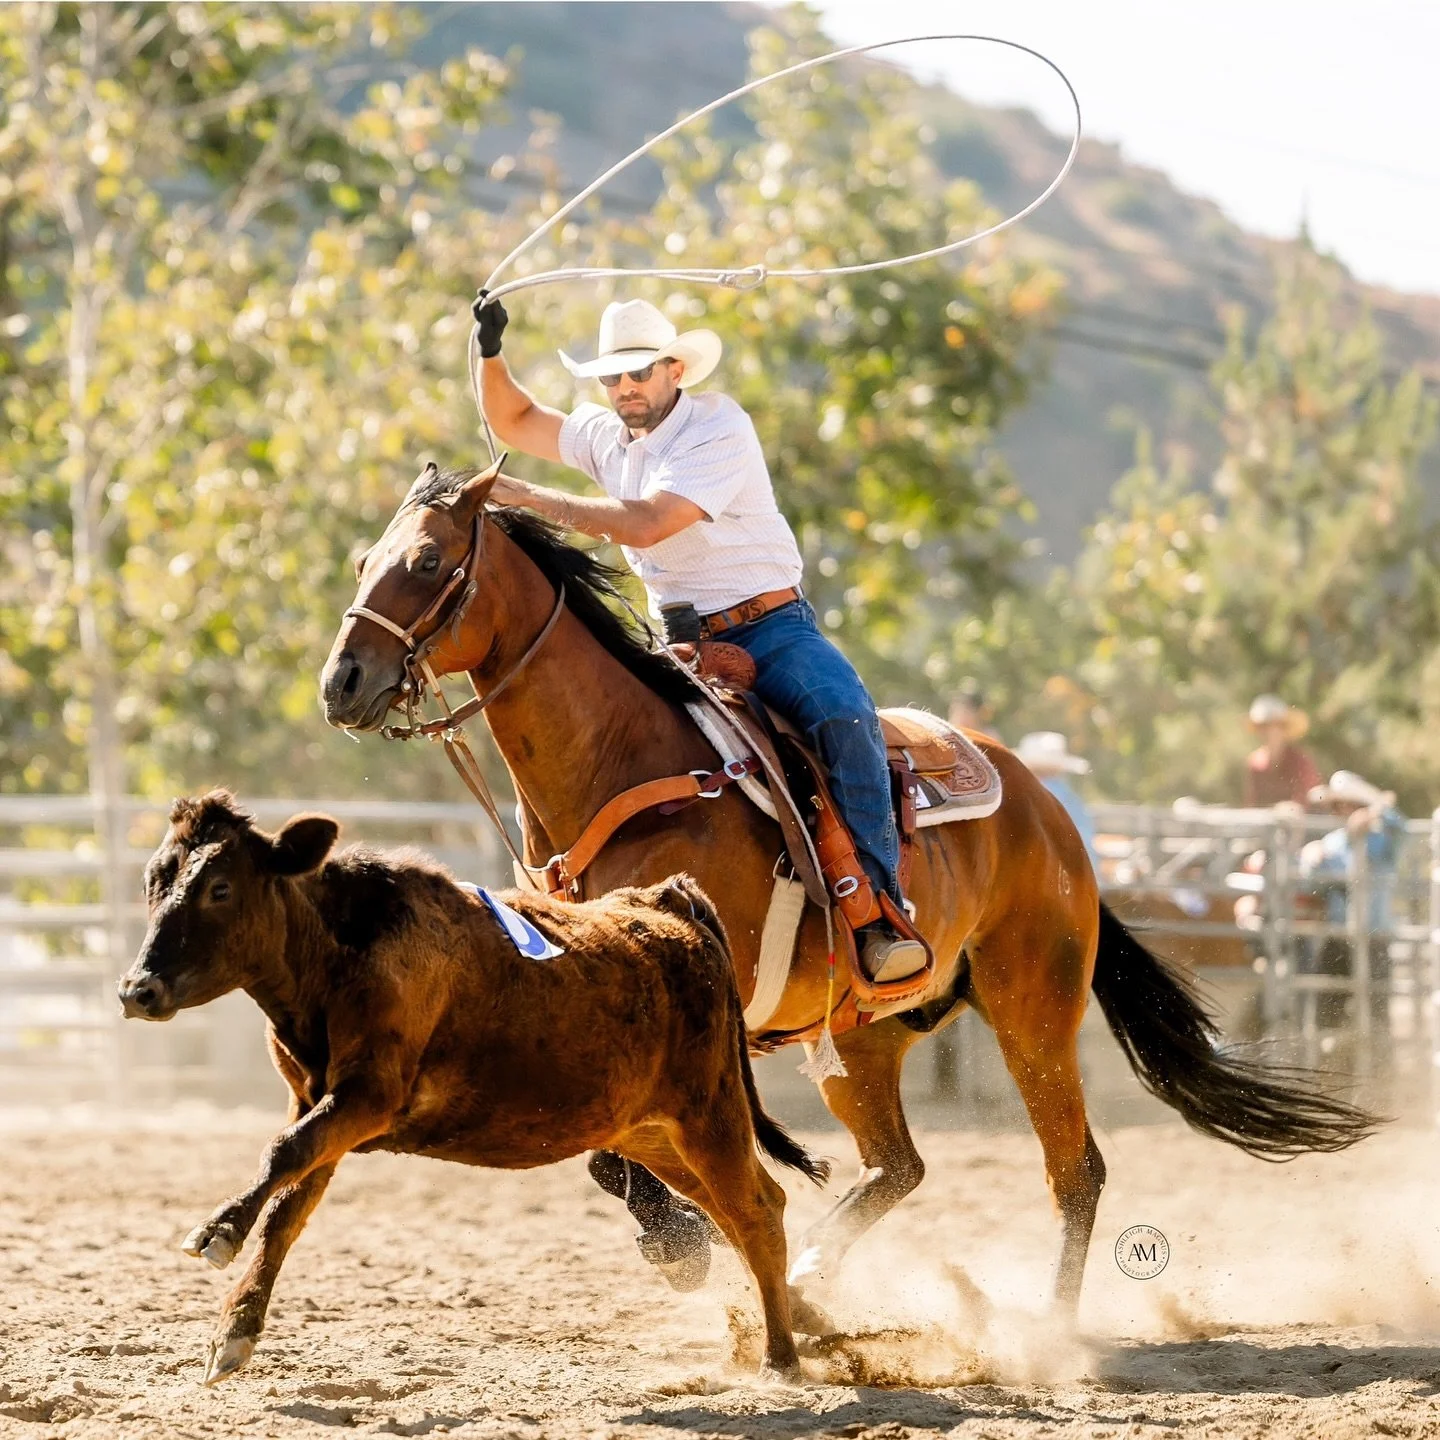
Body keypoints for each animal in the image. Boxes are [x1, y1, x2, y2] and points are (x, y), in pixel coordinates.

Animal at [117, 792, 827, 1384]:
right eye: (155, 881)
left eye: (219, 887)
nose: (136, 990)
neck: (336, 955)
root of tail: (666, 903)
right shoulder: (320, 1106)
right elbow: (286, 1208)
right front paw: (232, 1334)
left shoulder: (367, 1097)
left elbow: (280, 1155)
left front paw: (218, 1231)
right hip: (653, 1133)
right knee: (739, 1209)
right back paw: (802, 1324)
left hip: (708, 1111)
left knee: (754, 1211)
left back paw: (780, 1358)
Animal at [318, 457, 1377, 1317]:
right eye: (365, 557)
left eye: (425, 562)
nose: (341, 683)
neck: (625, 770)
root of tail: (1050, 815)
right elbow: (603, 1149)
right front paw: (685, 1238)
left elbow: (628, 1151)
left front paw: (682, 1239)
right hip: (859, 1040)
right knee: (898, 1166)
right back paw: (817, 1272)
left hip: (1034, 1011)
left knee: (1074, 1172)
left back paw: (1052, 1332)